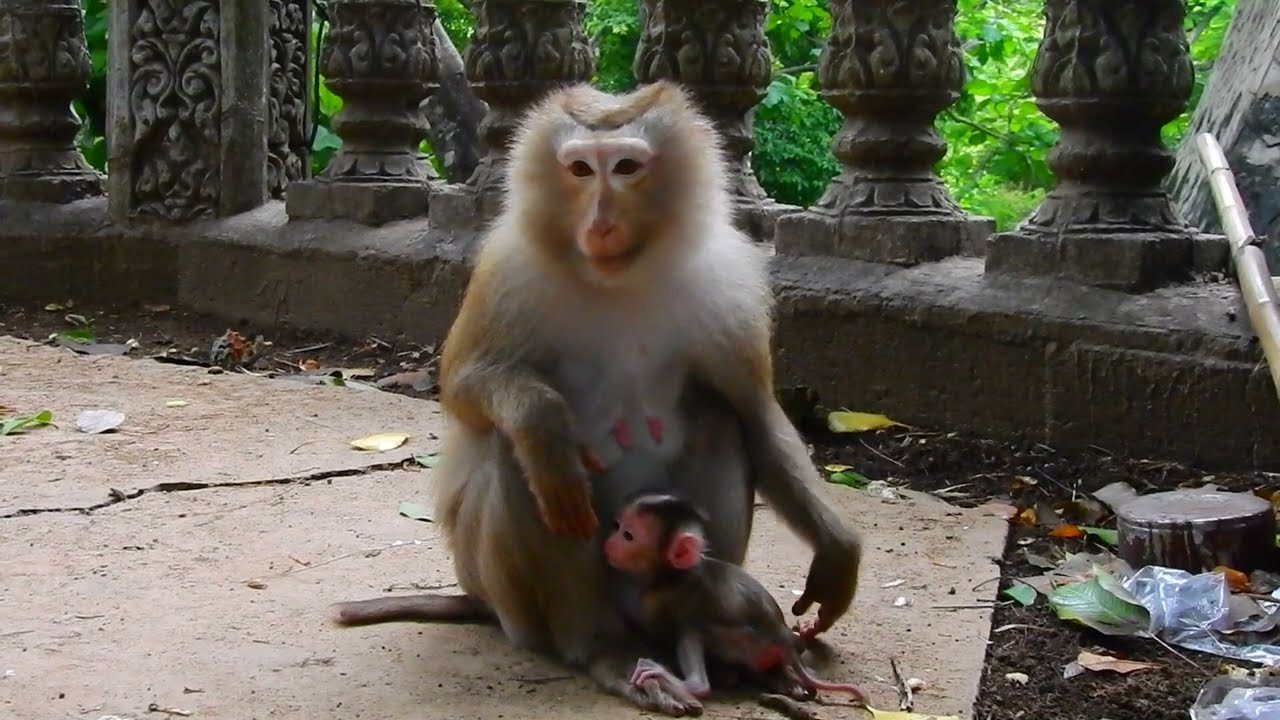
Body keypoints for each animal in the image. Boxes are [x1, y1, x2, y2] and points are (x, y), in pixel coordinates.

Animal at [604, 492, 869, 710]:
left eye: (628, 536)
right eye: (618, 526)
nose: (609, 543)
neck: (675, 572)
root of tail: (781, 638)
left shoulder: (662, 595)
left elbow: (663, 629)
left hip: (746, 642)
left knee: (693, 629)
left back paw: (693, 683)